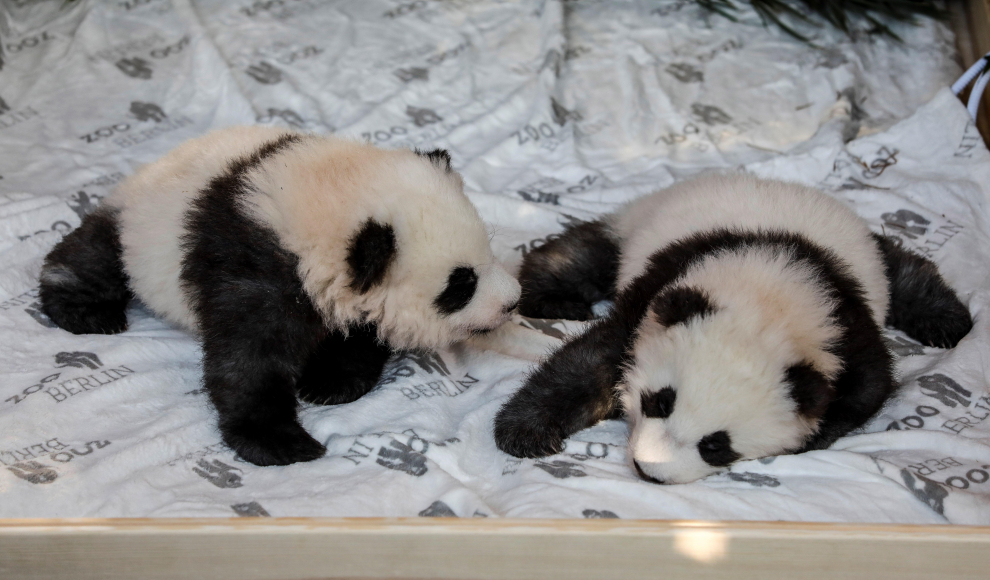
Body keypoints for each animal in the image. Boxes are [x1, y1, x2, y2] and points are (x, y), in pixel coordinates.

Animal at [40, 126, 521, 466]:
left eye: (488, 252)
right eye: (460, 285)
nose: (513, 301)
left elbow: (356, 336)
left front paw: (329, 383)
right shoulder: (252, 265)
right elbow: (248, 357)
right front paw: (278, 441)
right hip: (138, 227)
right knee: (95, 253)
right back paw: (82, 310)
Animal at [494, 173, 972, 484]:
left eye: (716, 445)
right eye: (659, 401)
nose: (649, 472)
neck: (772, 293)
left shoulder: (847, 327)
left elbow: (865, 390)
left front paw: (810, 436)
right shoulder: (662, 287)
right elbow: (591, 362)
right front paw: (524, 431)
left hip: (865, 257)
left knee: (900, 269)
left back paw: (947, 319)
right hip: (637, 225)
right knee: (583, 253)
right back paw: (552, 297)